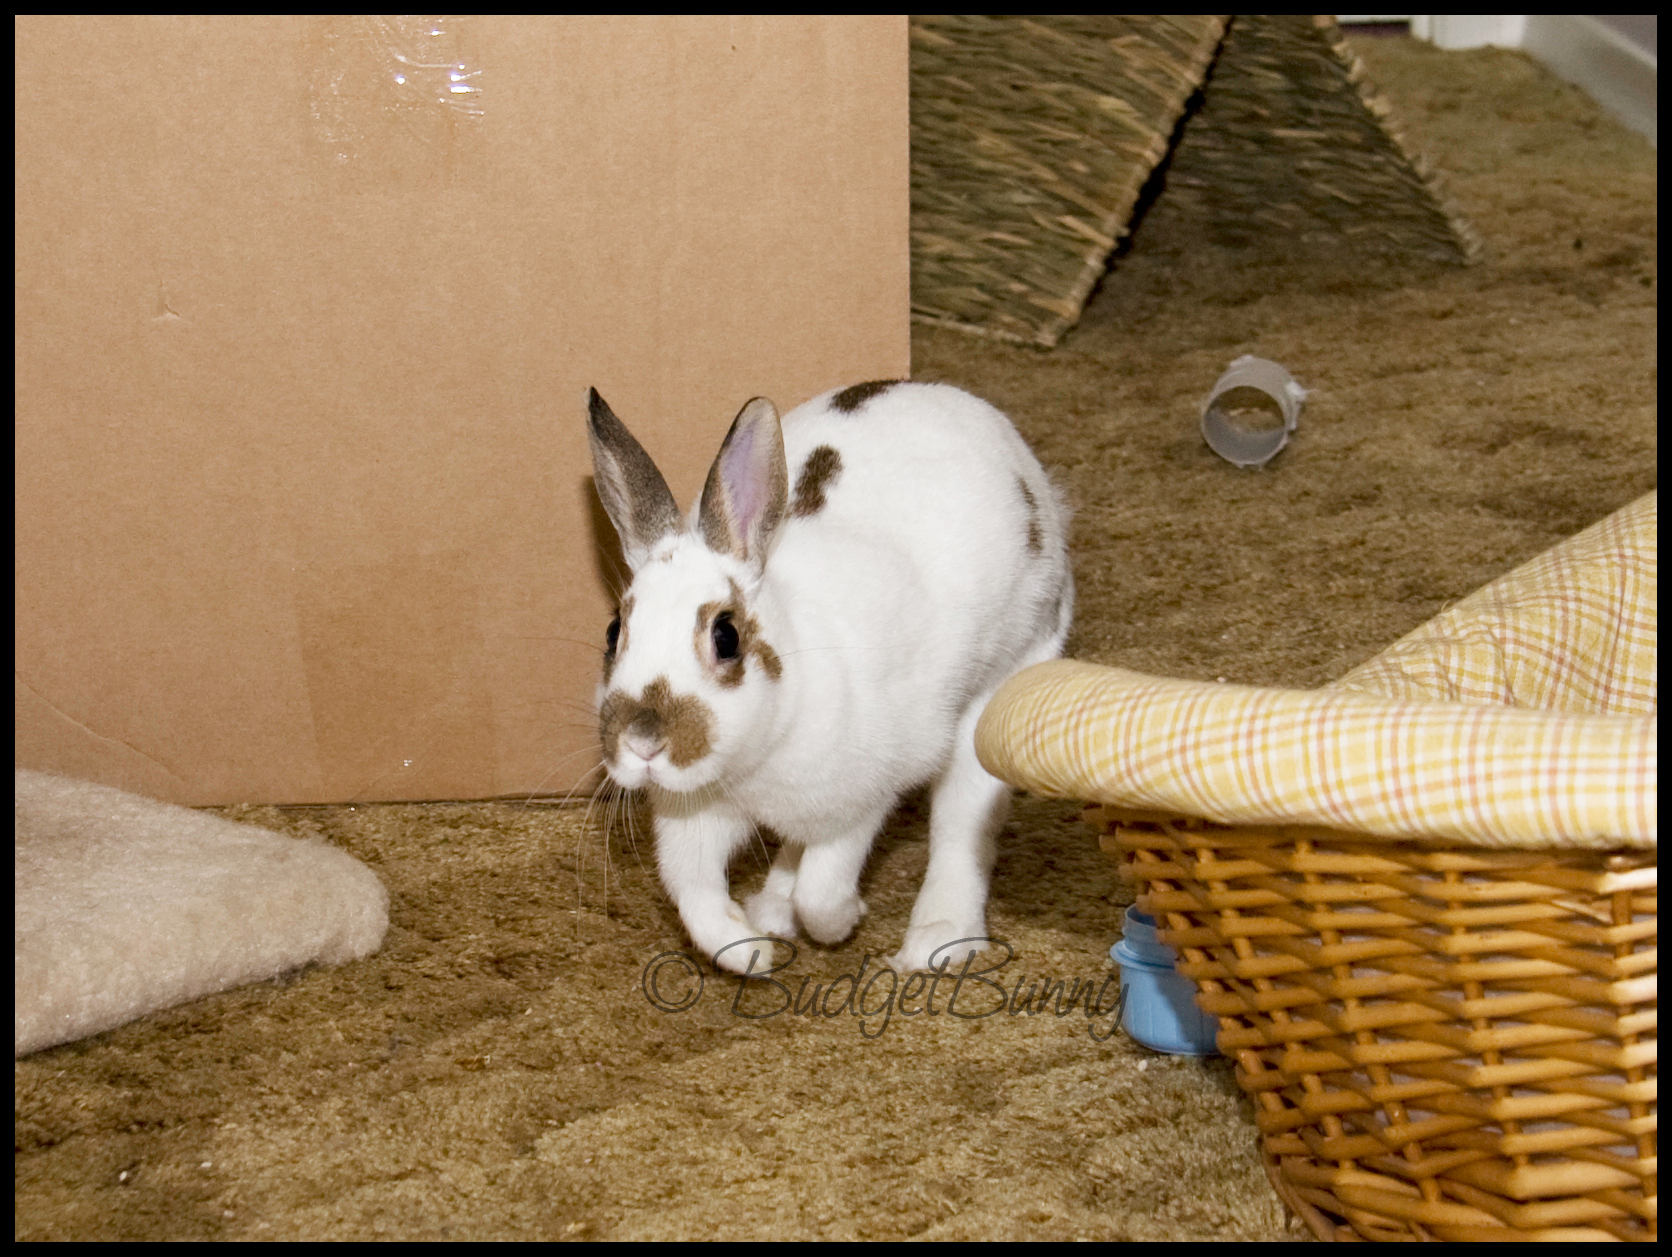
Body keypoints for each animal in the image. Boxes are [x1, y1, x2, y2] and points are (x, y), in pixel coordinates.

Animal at [586, 379, 1072, 975]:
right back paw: (772, 907)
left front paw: (843, 921)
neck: (751, 765)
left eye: (726, 636)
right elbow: (696, 900)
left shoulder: (861, 799)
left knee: (962, 828)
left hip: (999, 695)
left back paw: (937, 942)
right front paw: (753, 950)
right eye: (614, 631)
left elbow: (820, 890)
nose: (642, 743)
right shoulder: (693, 823)